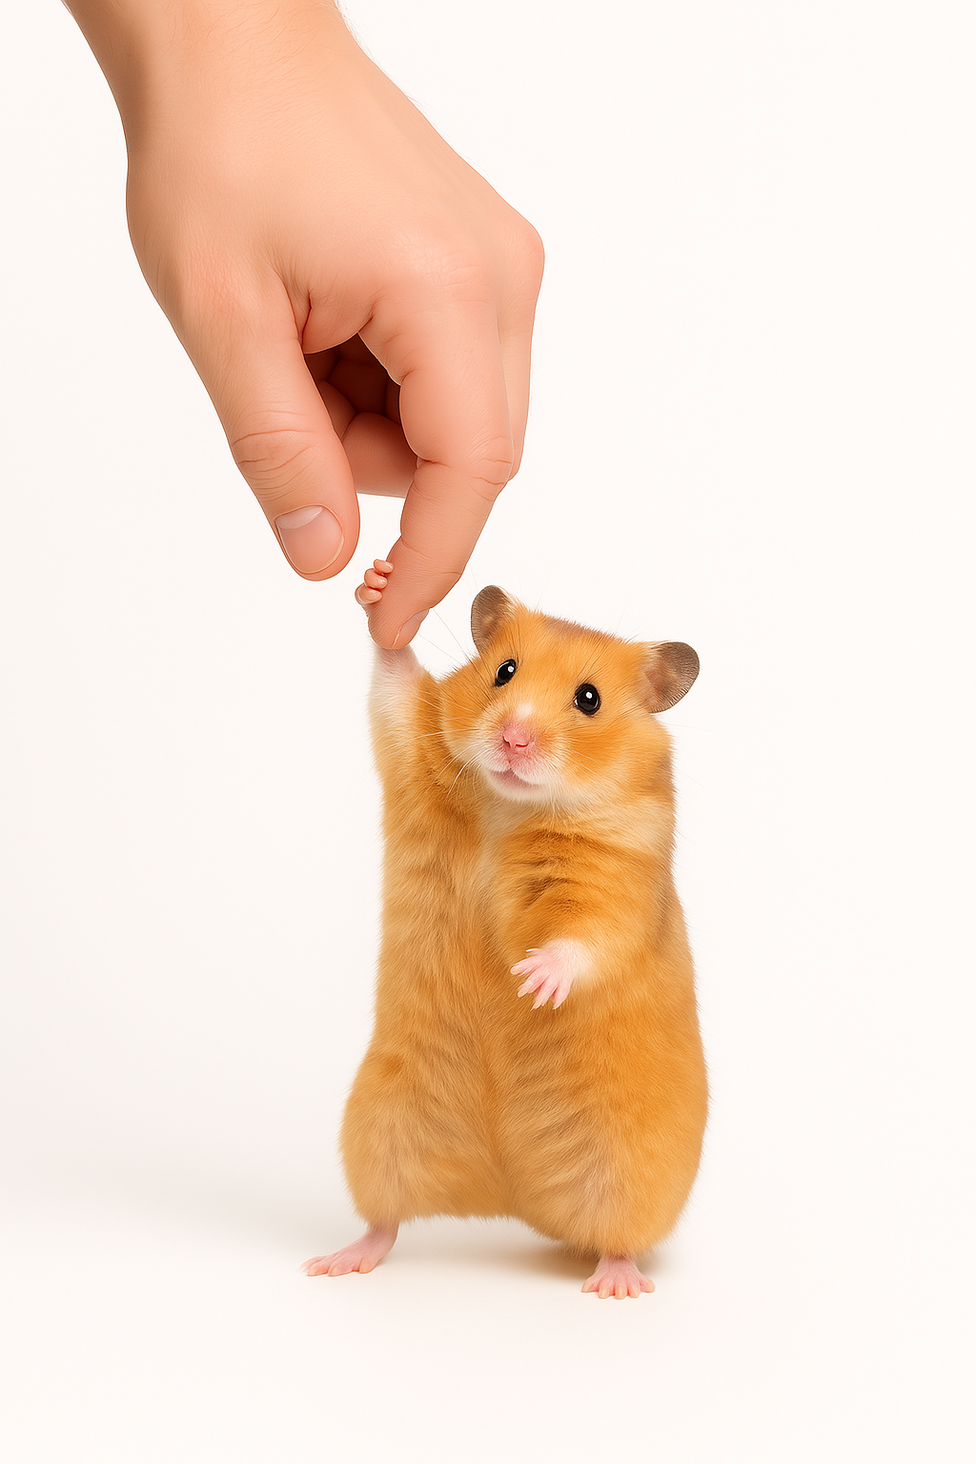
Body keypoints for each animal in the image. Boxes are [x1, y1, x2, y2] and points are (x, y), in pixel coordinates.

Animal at [303, 569, 707, 1298]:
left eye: (588, 699)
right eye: (503, 671)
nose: (514, 740)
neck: (511, 806)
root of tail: (512, 1196)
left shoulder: (620, 880)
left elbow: (588, 935)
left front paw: (530, 980)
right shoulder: (413, 748)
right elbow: (396, 686)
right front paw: (379, 590)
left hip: (630, 1168)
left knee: (619, 1238)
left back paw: (616, 1283)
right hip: (379, 1126)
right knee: (384, 1220)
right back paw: (340, 1261)